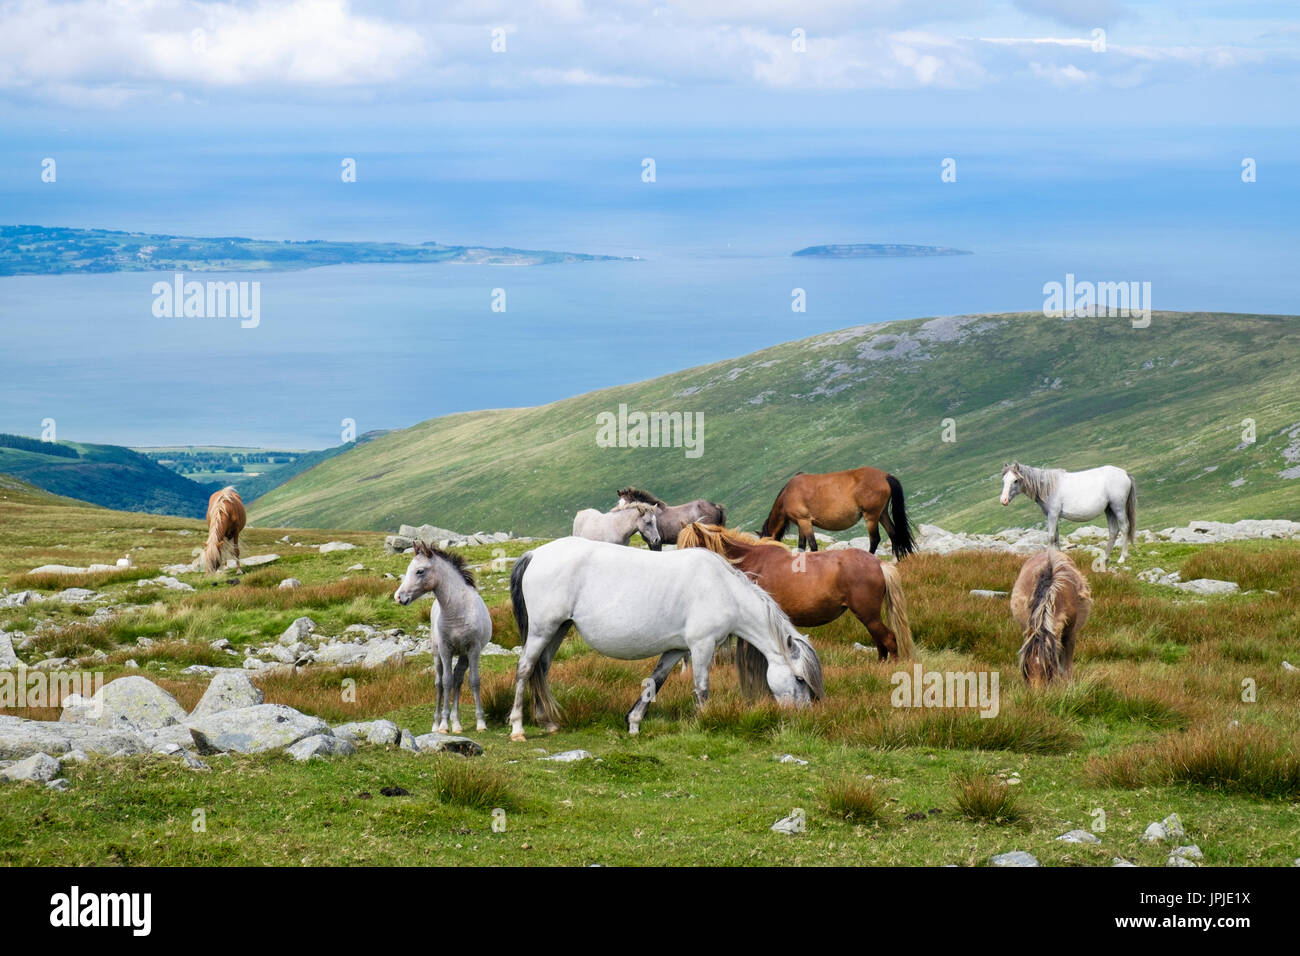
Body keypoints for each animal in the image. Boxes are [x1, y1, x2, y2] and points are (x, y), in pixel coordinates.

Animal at [394, 541, 493, 733]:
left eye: (419, 571)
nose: (399, 597)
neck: (457, 611)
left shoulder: (473, 649)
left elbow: (474, 681)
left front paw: (481, 723)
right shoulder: (446, 650)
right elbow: (446, 682)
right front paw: (443, 725)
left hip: (463, 655)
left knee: (458, 679)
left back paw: (457, 723)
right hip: (436, 654)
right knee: (439, 683)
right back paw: (437, 723)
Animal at [507, 536, 824, 739]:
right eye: (799, 679)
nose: (803, 718)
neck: (723, 589)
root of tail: (535, 555)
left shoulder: (676, 649)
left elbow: (655, 682)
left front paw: (634, 723)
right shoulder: (701, 646)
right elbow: (702, 688)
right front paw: (705, 723)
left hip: (558, 629)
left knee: (541, 669)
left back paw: (547, 722)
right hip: (542, 629)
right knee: (525, 668)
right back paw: (518, 729)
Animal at [760, 466, 916, 557]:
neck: (788, 493)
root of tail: (885, 476)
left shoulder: (804, 521)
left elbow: (812, 545)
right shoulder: (800, 524)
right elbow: (801, 546)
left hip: (871, 517)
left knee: (875, 539)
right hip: (882, 514)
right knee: (893, 533)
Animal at [1000, 462, 1136, 567]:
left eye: (1015, 480)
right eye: (1004, 480)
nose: (1003, 500)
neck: (1048, 487)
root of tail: (1124, 473)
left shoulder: (1053, 515)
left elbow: (1051, 537)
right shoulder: (1053, 516)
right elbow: (1056, 537)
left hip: (1118, 508)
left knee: (1124, 528)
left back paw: (1122, 558)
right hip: (1109, 510)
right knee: (1113, 531)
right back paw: (1104, 559)